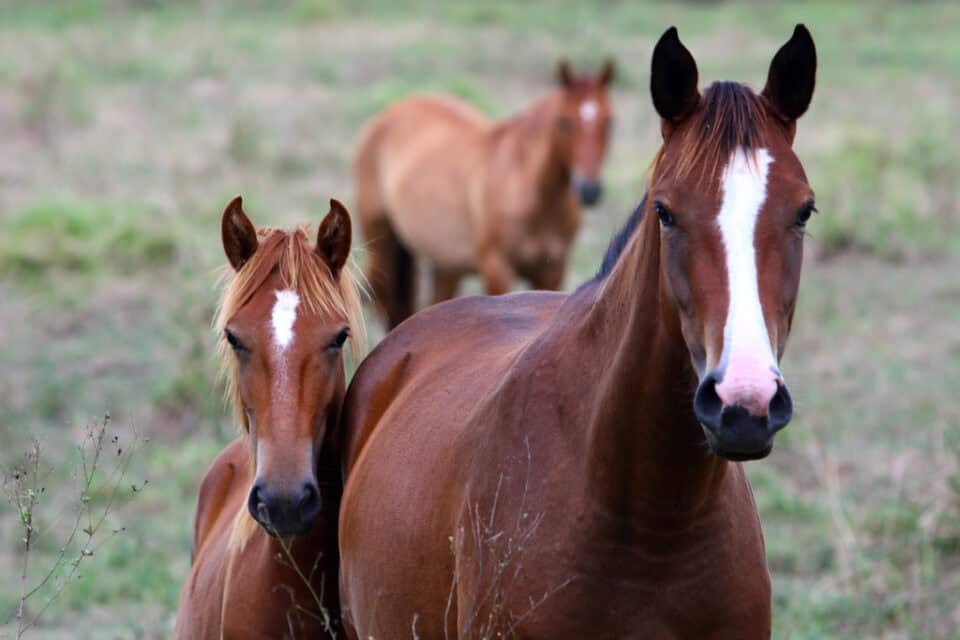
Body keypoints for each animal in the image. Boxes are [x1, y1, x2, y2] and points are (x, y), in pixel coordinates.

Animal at [354, 59, 615, 329]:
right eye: (564, 121)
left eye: (609, 122)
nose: (590, 190)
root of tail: (390, 113)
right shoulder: (497, 268)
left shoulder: (553, 271)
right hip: (382, 245)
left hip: (445, 266)